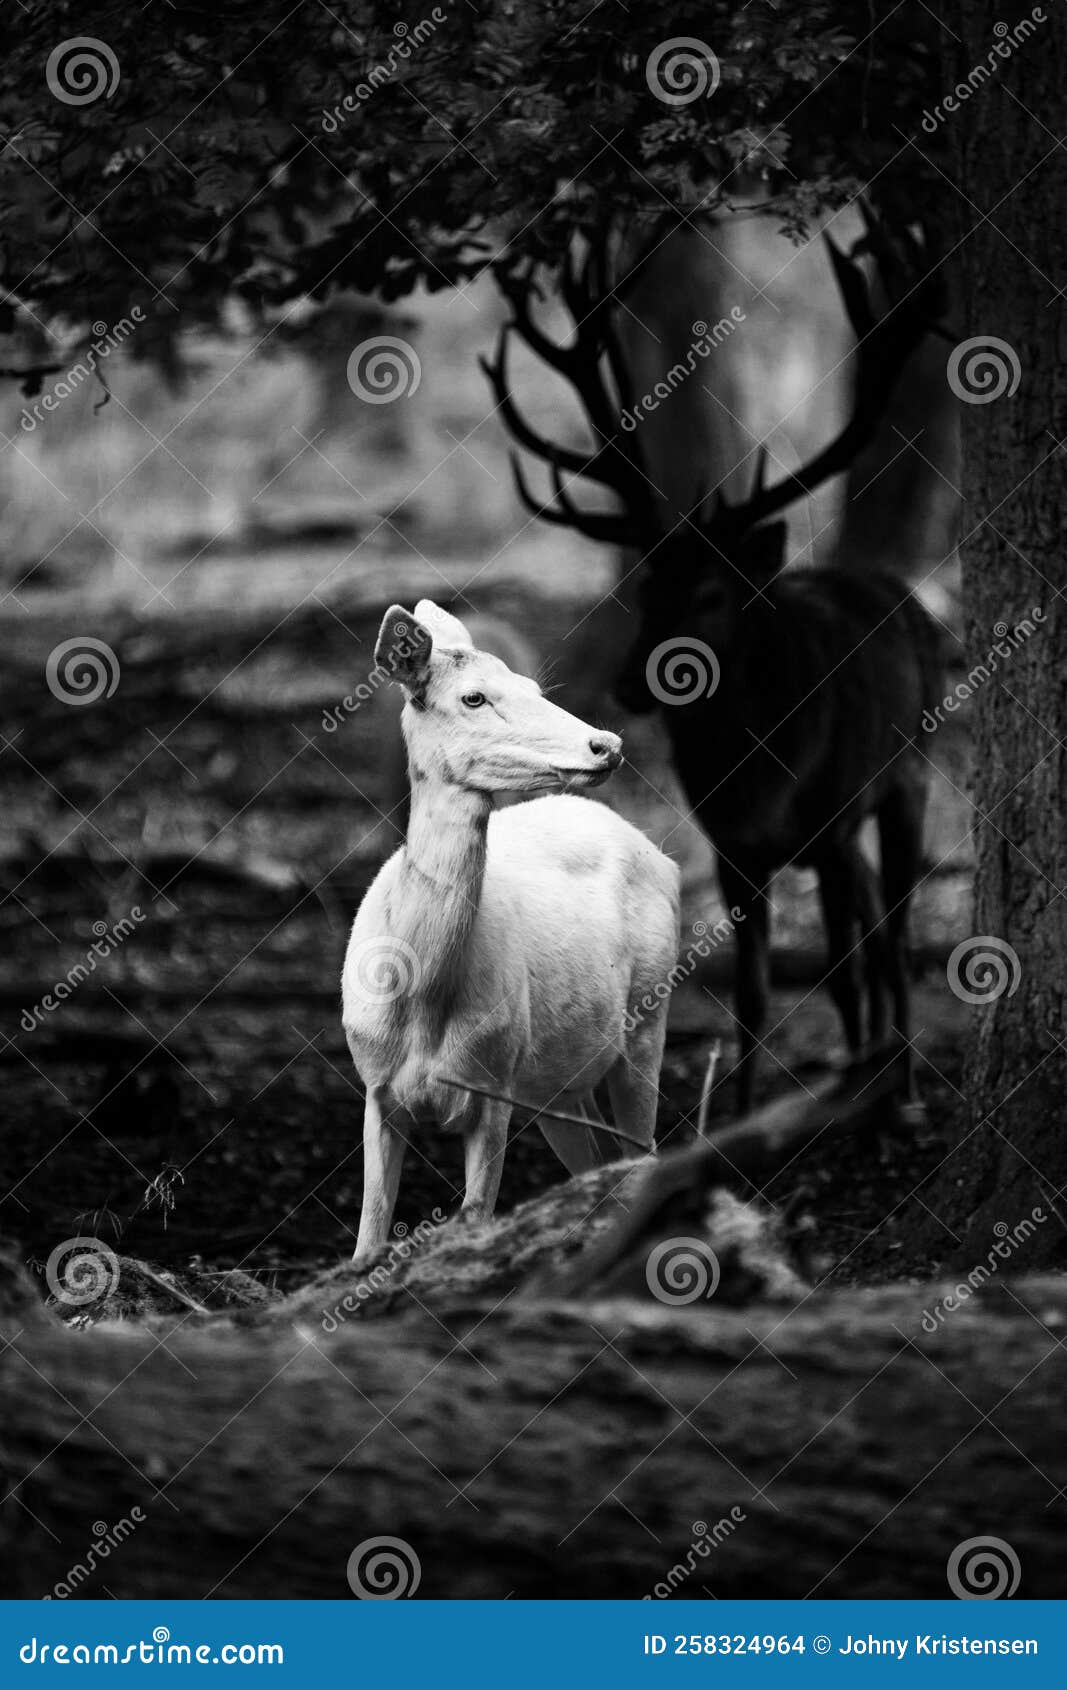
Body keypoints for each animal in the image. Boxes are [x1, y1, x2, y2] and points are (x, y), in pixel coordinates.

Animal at [342, 599, 680, 1263]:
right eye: (474, 697)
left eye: (533, 687)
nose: (607, 744)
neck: (420, 1001)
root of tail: (666, 860)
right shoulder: (373, 1084)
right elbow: (368, 1236)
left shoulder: (493, 1078)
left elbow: (475, 1216)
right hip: (561, 1083)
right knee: (600, 1168)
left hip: (649, 1016)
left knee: (645, 1159)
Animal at [484, 211, 945, 1115]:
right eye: (646, 587)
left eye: (708, 594)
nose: (630, 684)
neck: (761, 772)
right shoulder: (732, 849)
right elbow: (753, 997)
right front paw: (735, 1117)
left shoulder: (833, 823)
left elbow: (847, 967)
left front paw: (864, 1092)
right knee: (872, 931)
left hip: (905, 775)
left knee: (893, 929)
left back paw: (899, 1075)